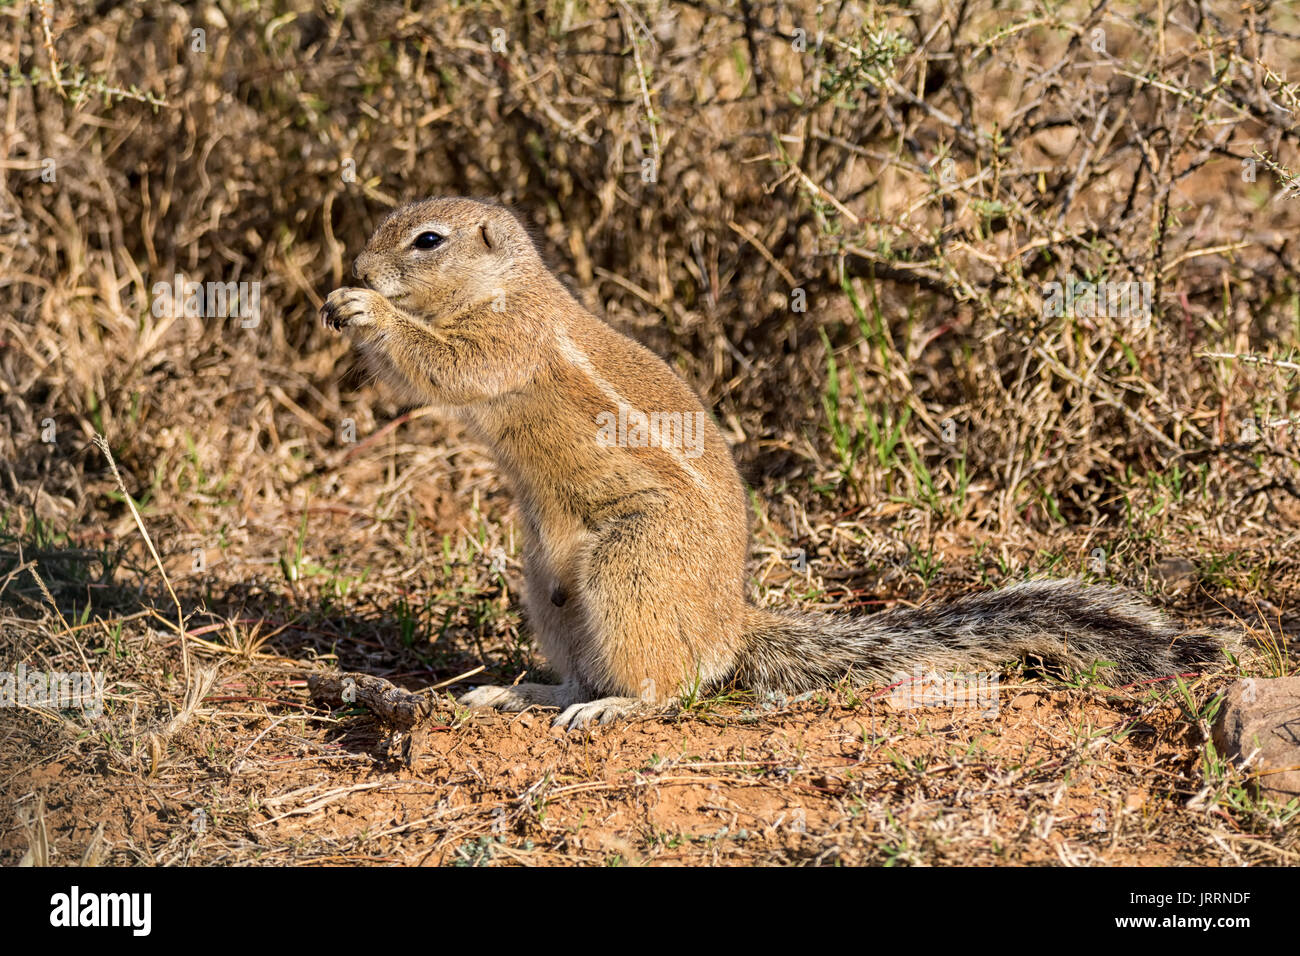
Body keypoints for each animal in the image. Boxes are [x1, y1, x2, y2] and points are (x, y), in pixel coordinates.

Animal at [321, 197, 1223, 729]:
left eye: (427, 240)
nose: (357, 267)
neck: (504, 285)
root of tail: (730, 620)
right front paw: (343, 303)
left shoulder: (509, 340)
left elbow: (449, 365)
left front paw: (369, 310)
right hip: (546, 585)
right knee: (580, 672)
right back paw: (523, 691)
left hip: (629, 568)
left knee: (666, 684)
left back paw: (613, 711)